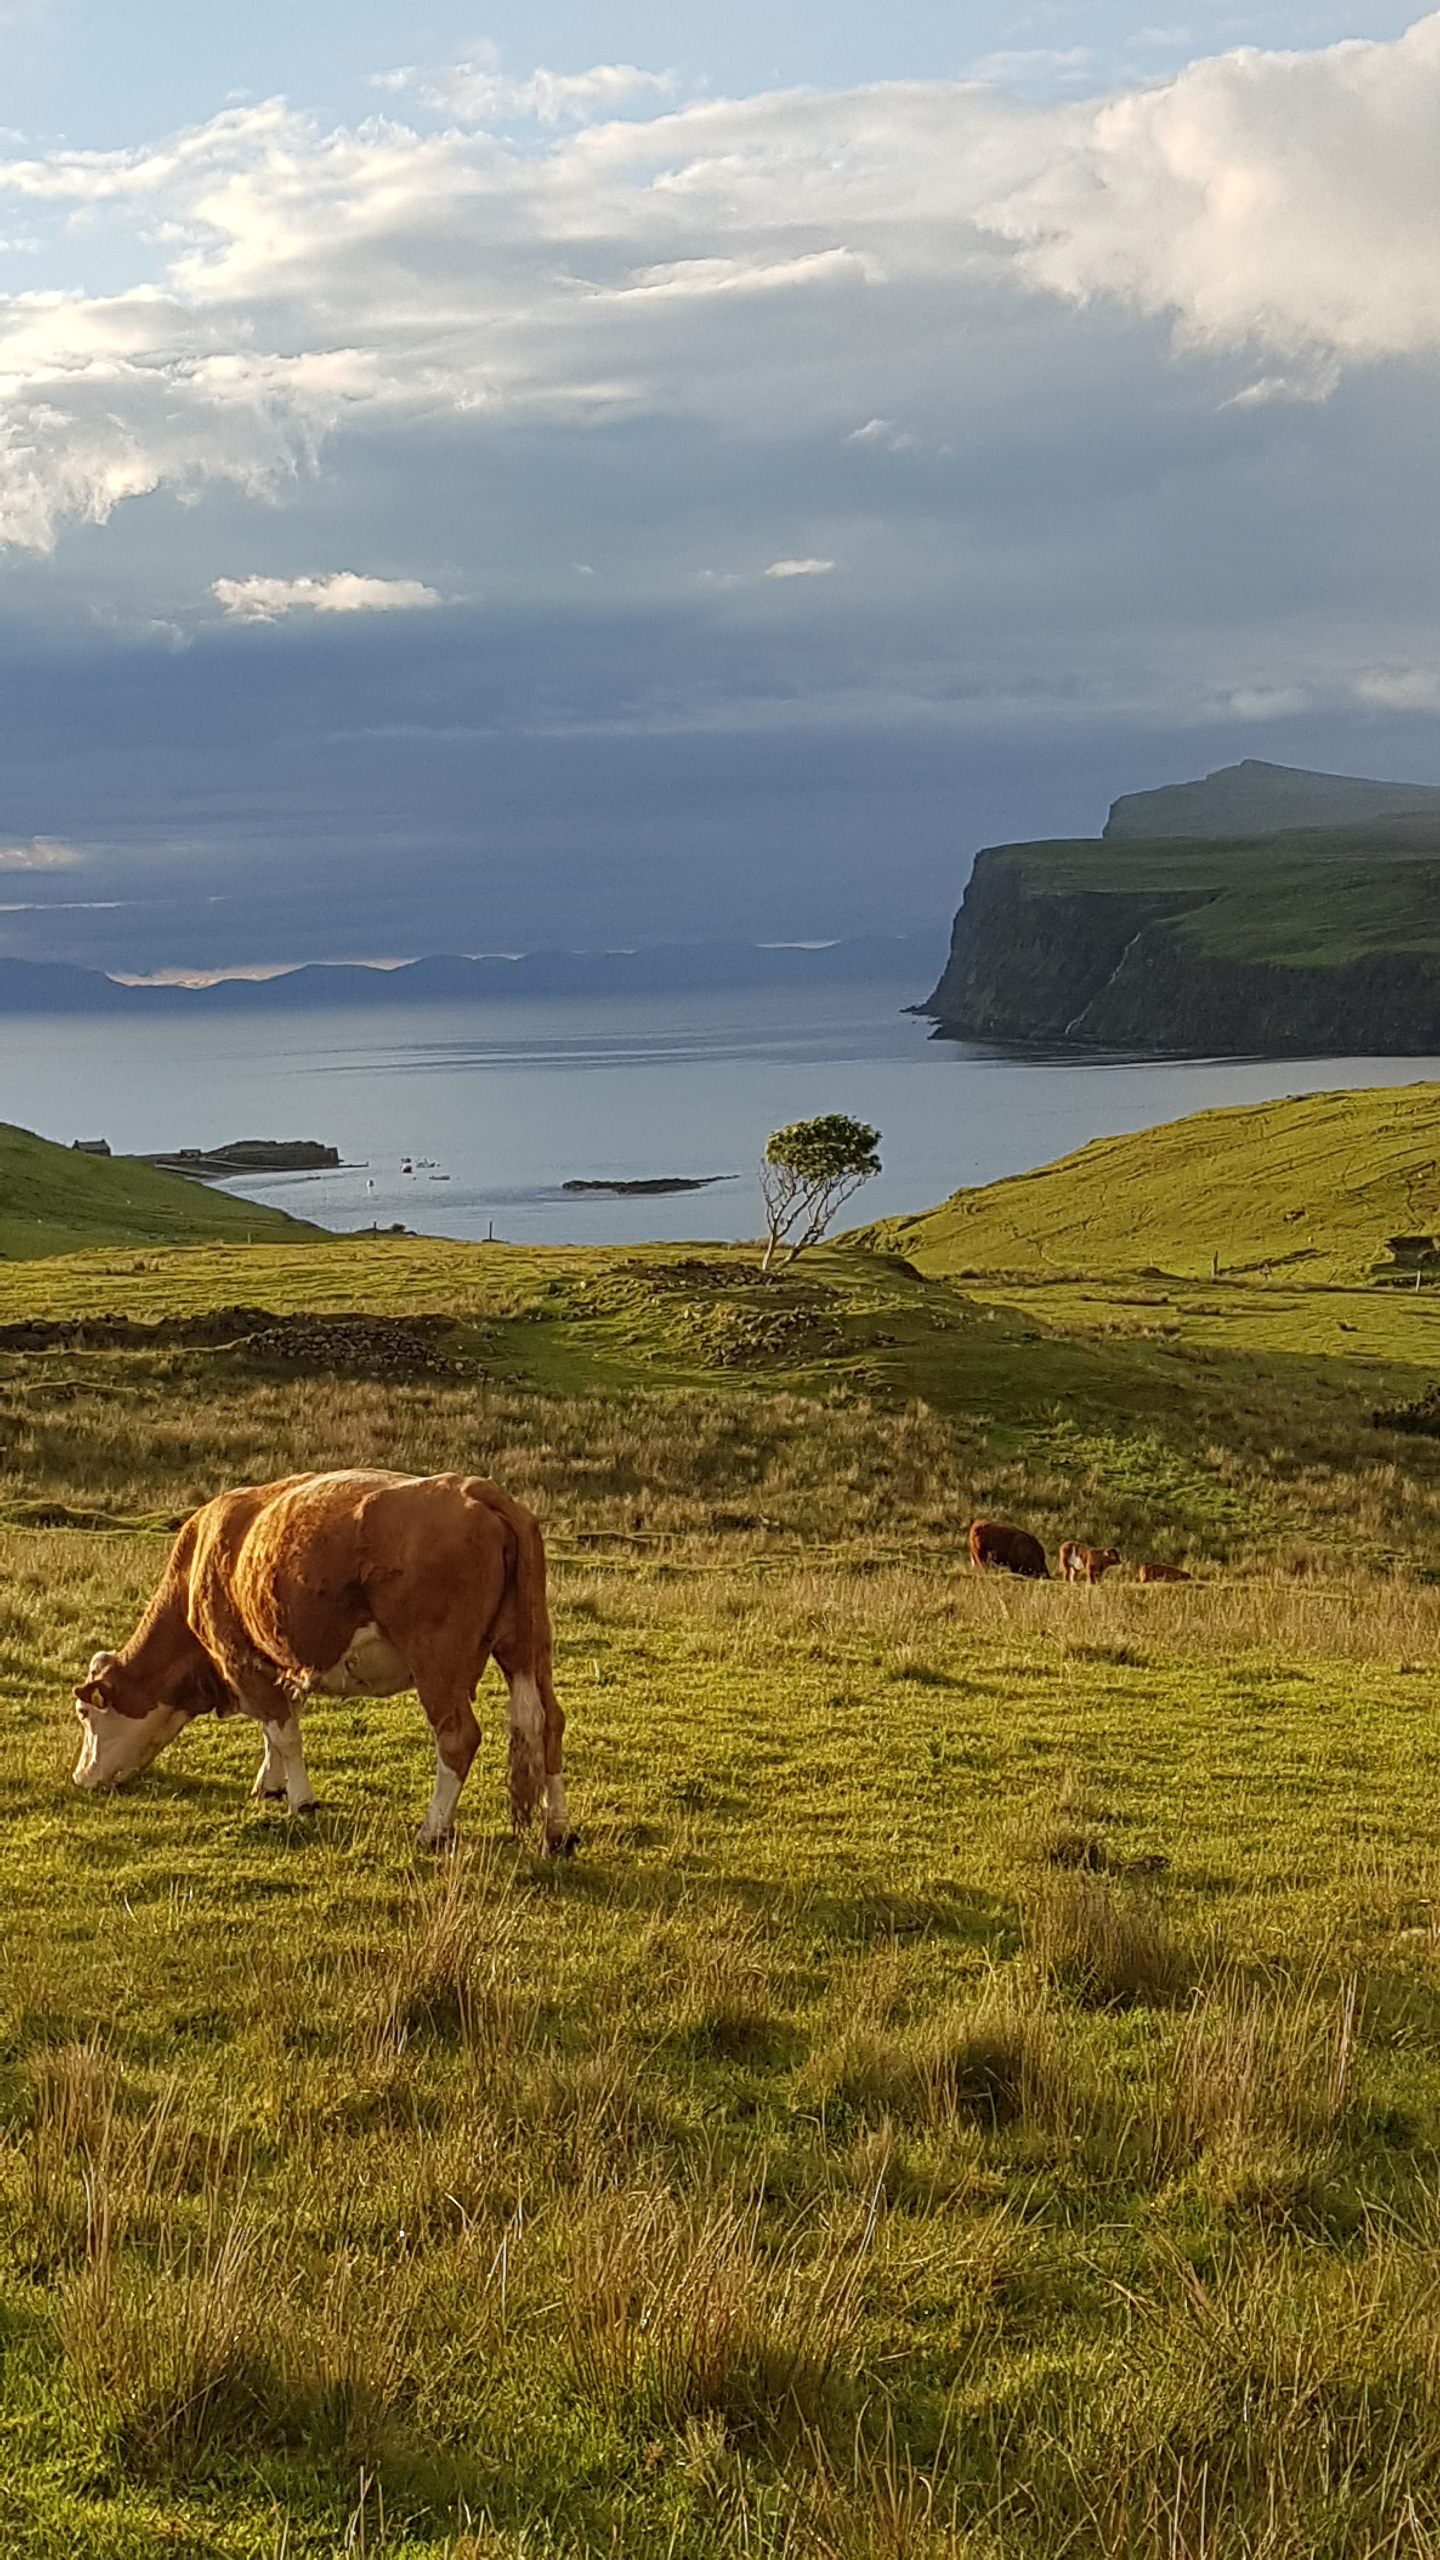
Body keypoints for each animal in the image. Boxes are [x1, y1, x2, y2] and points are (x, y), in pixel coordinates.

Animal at [72, 1470, 575, 1854]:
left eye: (83, 1714)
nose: (80, 1777)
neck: (198, 1564)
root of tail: (476, 1489)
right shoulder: (278, 1664)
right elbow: (276, 1729)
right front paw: (270, 1784)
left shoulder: (242, 1660)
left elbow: (284, 1733)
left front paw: (301, 1801)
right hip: (530, 1648)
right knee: (548, 1723)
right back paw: (558, 1832)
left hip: (438, 1666)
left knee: (458, 1737)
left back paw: (432, 1830)